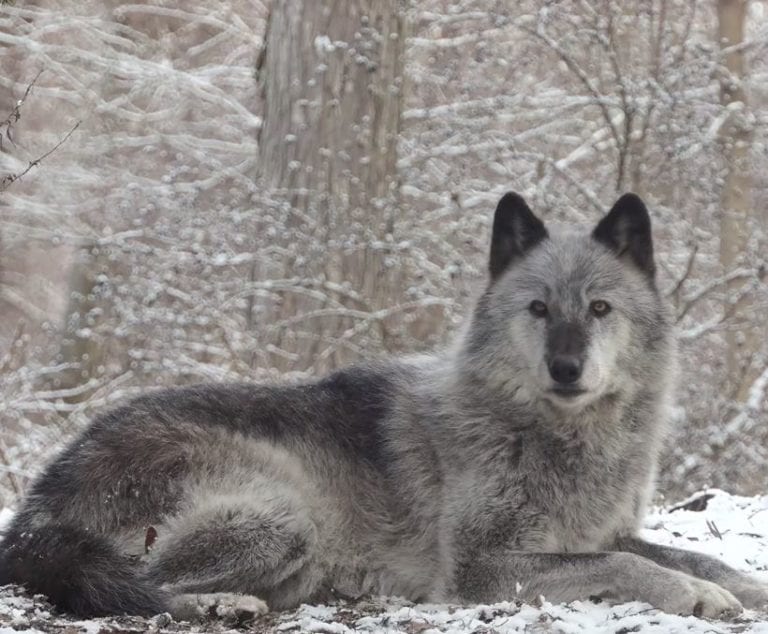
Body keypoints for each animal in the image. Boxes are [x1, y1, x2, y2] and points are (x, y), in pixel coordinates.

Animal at [1, 192, 766, 621]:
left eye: (600, 308)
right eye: (539, 309)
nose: (566, 367)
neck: (555, 438)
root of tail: (36, 508)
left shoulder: (600, 532)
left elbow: (694, 557)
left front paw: (739, 585)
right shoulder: (482, 568)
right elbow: (629, 567)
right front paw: (696, 598)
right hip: (280, 513)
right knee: (137, 585)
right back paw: (219, 604)